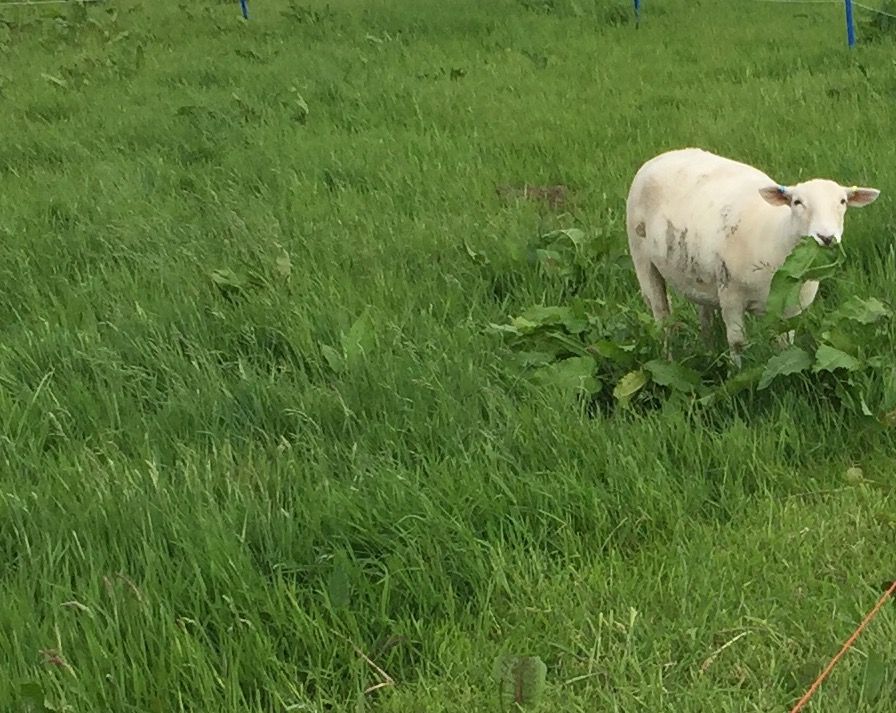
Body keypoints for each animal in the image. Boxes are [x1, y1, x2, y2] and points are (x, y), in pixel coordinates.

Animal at [625, 147, 880, 366]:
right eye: (797, 202)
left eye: (842, 202)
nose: (826, 237)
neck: (777, 237)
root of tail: (664, 155)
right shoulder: (731, 296)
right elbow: (737, 343)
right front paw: (736, 374)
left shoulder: (789, 310)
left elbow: (785, 345)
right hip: (642, 259)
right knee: (662, 318)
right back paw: (668, 361)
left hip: (700, 270)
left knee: (704, 315)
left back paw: (708, 350)